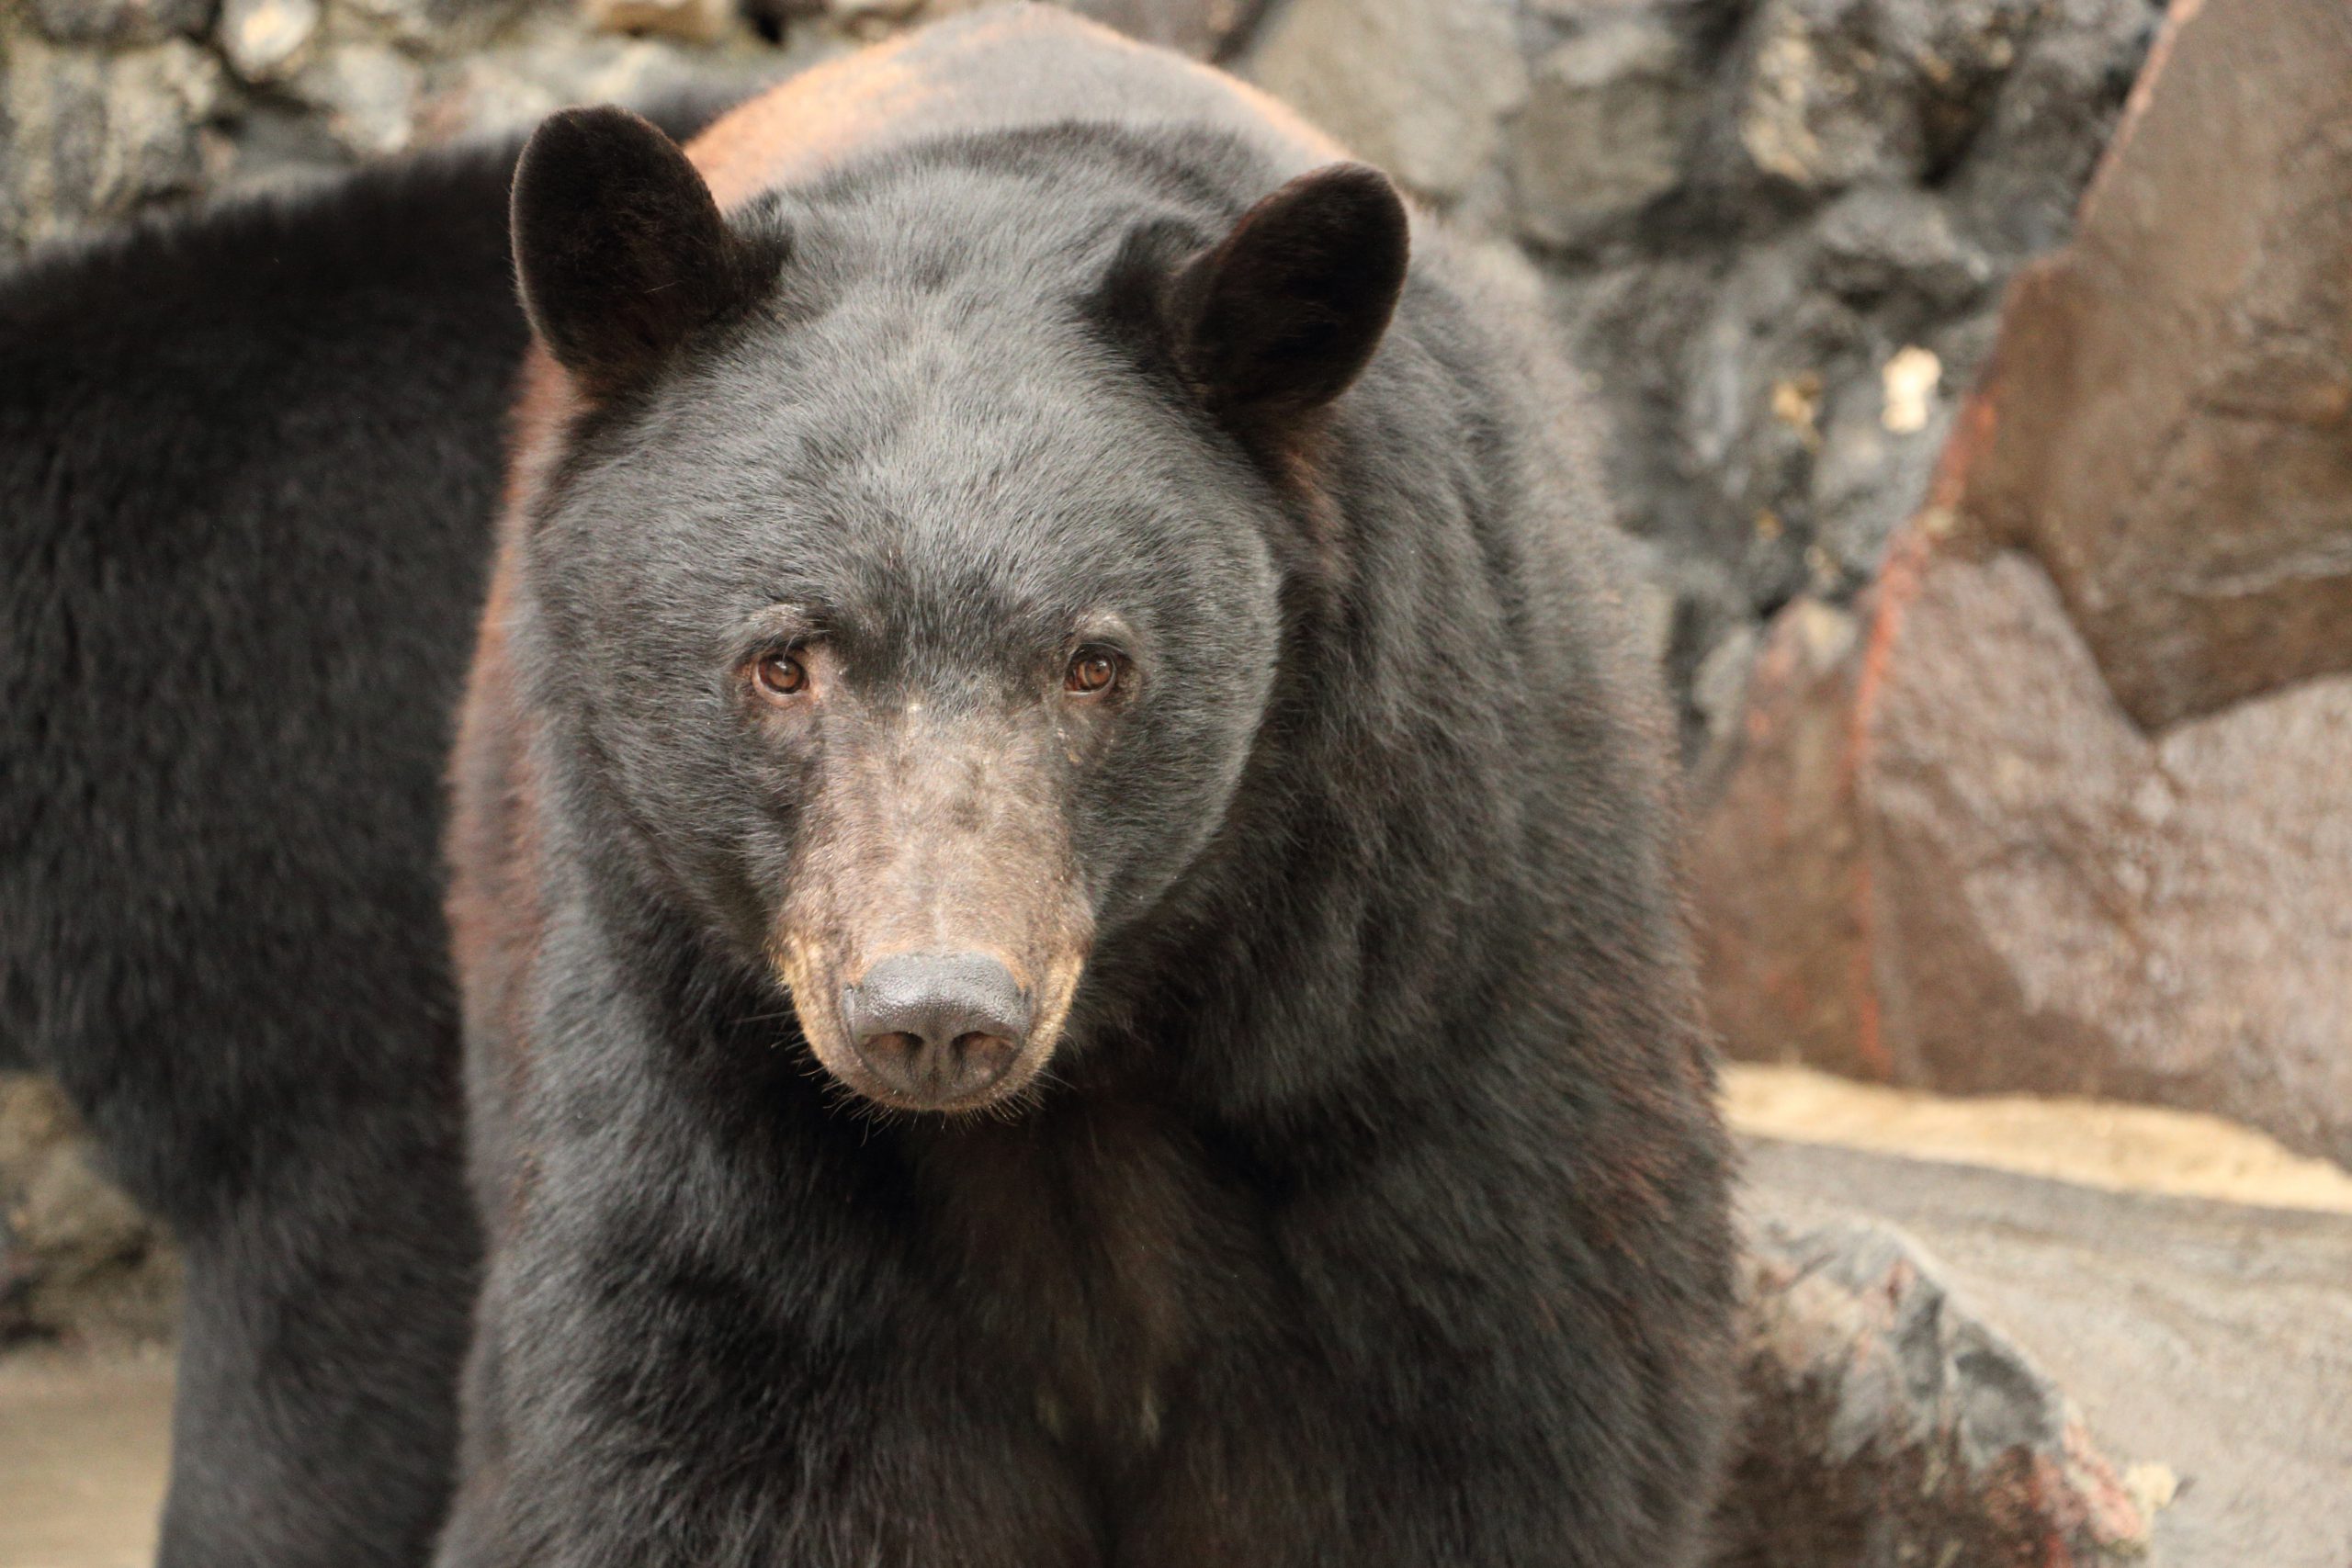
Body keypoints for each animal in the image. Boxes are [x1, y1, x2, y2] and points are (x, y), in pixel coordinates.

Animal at [439, 8, 1737, 1566]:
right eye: (782, 660)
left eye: (1093, 663)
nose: (937, 1012)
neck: (1085, 1086)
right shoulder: (698, 1089)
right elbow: (703, 1424)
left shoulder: (1433, 1010)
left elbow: (1495, 1418)